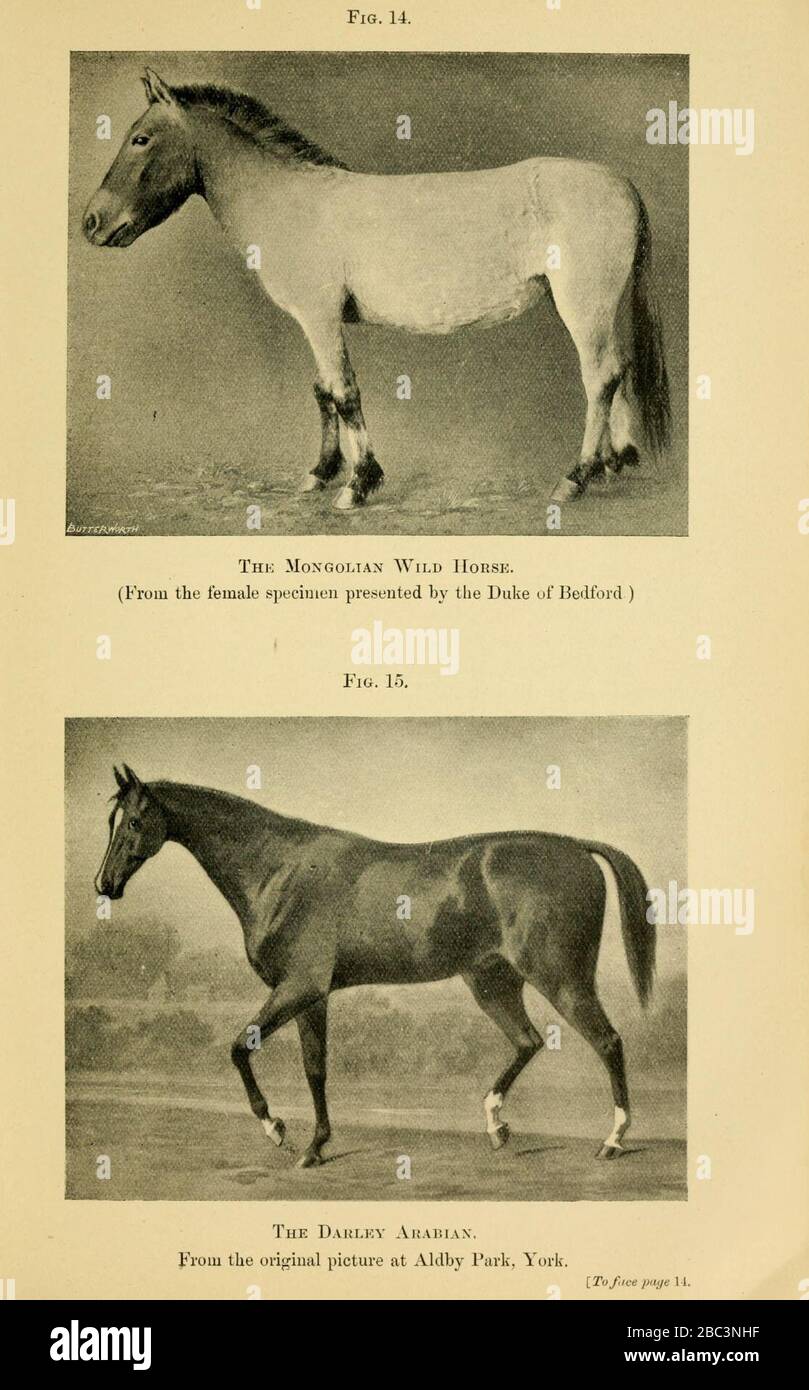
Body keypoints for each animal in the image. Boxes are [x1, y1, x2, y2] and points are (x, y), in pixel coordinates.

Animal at [82, 68, 671, 513]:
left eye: (141, 139)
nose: (91, 222)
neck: (289, 201)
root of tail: (622, 184)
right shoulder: (315, 321)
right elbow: (323, 391)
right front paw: (320, 473)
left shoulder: (319, 318)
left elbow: (344, 393)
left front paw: (358, 484)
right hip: (588, 308)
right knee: (616, 371)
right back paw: (616, 463)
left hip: (583, 307)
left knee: (600, 378)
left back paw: (576, 477)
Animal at [94, 765, 656, 1169]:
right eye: (112, 822)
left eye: (136, 822)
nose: (105, 884)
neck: (279, 868)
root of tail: (574, 847)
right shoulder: (311, 996)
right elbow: (315, 1069)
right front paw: (315, 1146)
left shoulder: (297, 988)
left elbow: (239, 1048)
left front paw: (277, 1130)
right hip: (493, 982)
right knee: (528, 1041)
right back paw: (496, 1126)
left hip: (561, 978)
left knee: (608, 1042)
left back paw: (612, 1140)